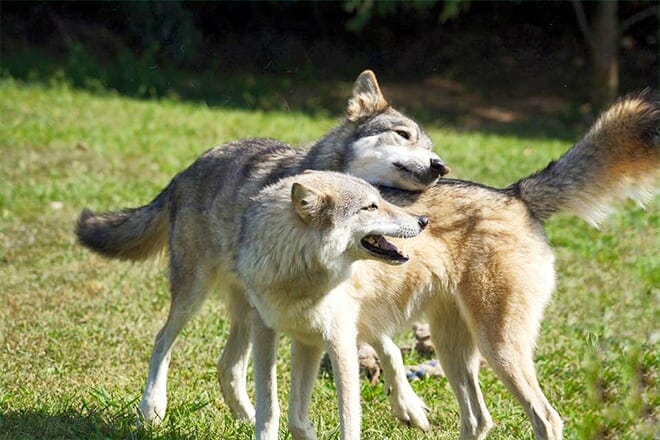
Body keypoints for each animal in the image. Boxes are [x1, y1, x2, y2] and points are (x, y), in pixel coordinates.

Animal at [75, 70, 447, 426]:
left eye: (431, 147)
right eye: (403, 135)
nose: (440, 166)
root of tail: (183, 173)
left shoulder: (346, 304)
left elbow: (391, 349)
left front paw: (408, 405)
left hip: (246, 309)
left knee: (227, 365)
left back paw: (246, 417)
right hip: (195, 295)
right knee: (162, 341)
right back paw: (152, 408)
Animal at [250, 91, 658, 440]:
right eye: (402, 136)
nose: (437, 168)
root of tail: (516, 194)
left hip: (499, 349)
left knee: (546, 418)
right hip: (454, 350)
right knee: (479, 419)